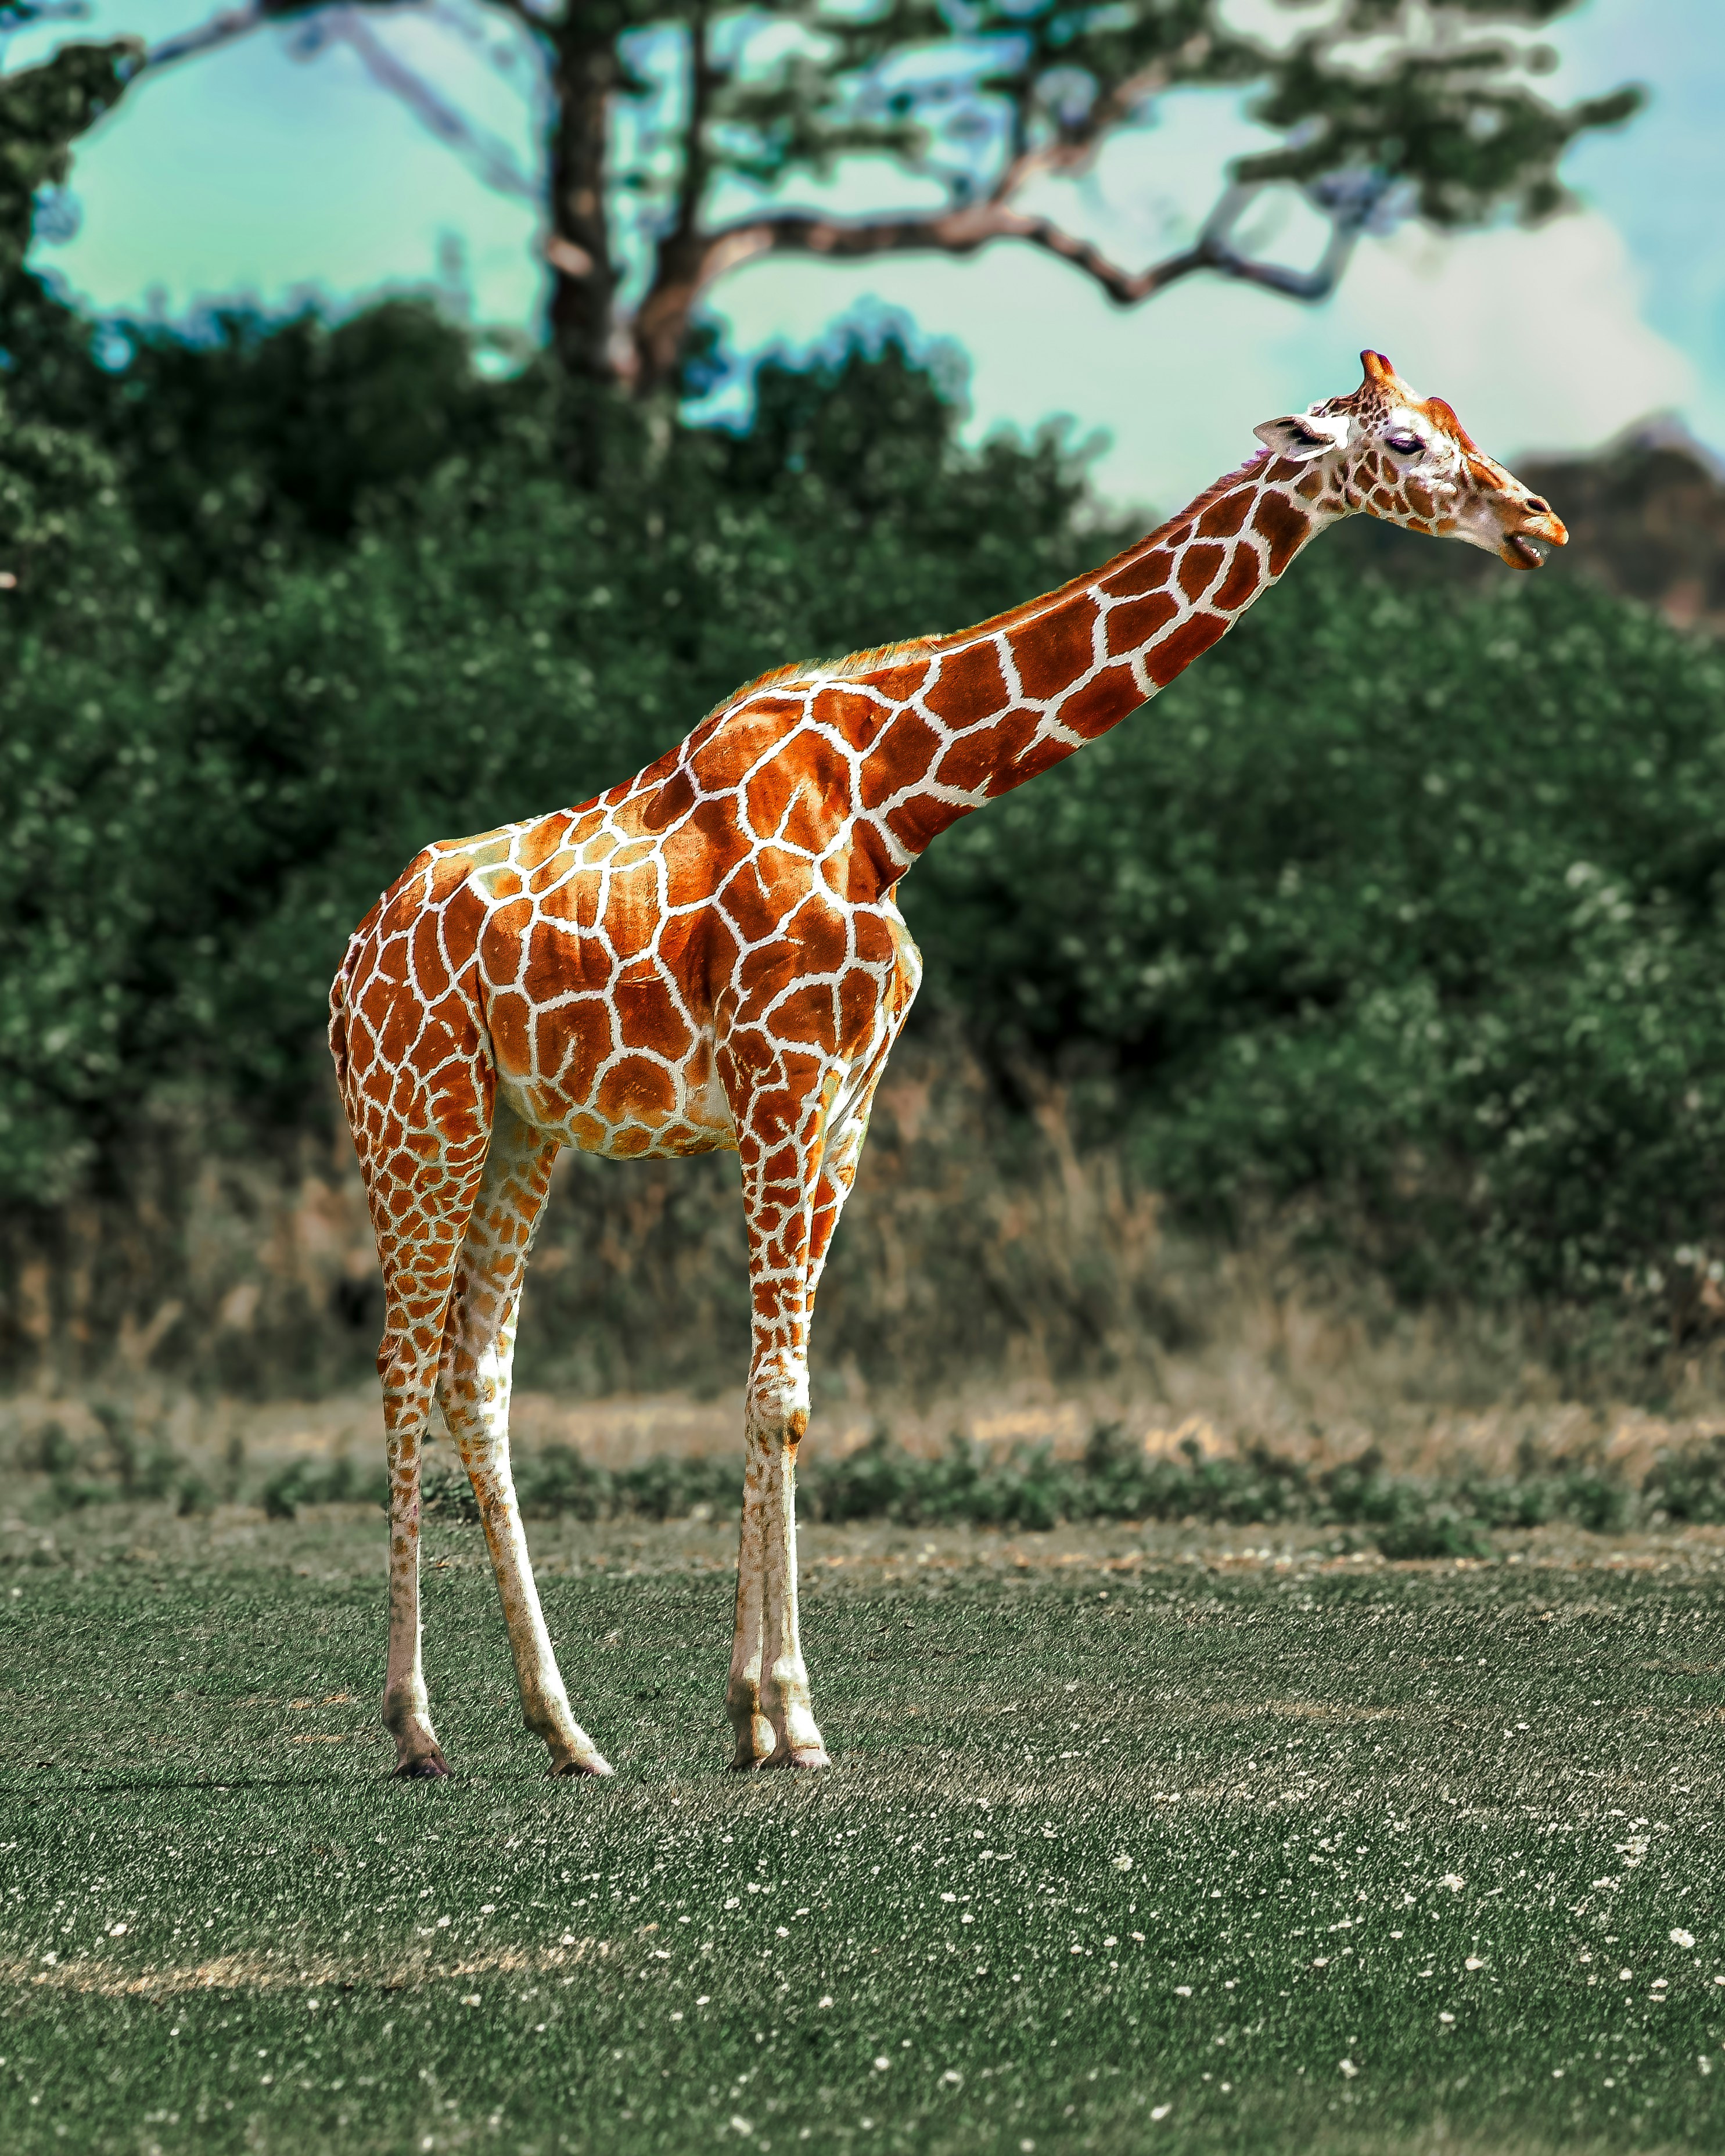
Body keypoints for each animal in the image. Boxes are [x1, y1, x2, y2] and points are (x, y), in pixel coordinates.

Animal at [329, 350, 1565, 1779]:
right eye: (1409, 441)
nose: (1538, 521)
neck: (899, 795)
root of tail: (346, 973)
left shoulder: (844, 1101)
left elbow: (785, 1393)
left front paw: (753, 1715)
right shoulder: (780, 1079)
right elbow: (774, 1388)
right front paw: (792, 1714)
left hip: (523, 1130)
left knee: (476, 1373)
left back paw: (569, 1730)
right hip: (420, 1114)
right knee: (401, 1368)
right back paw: (418, 1726)